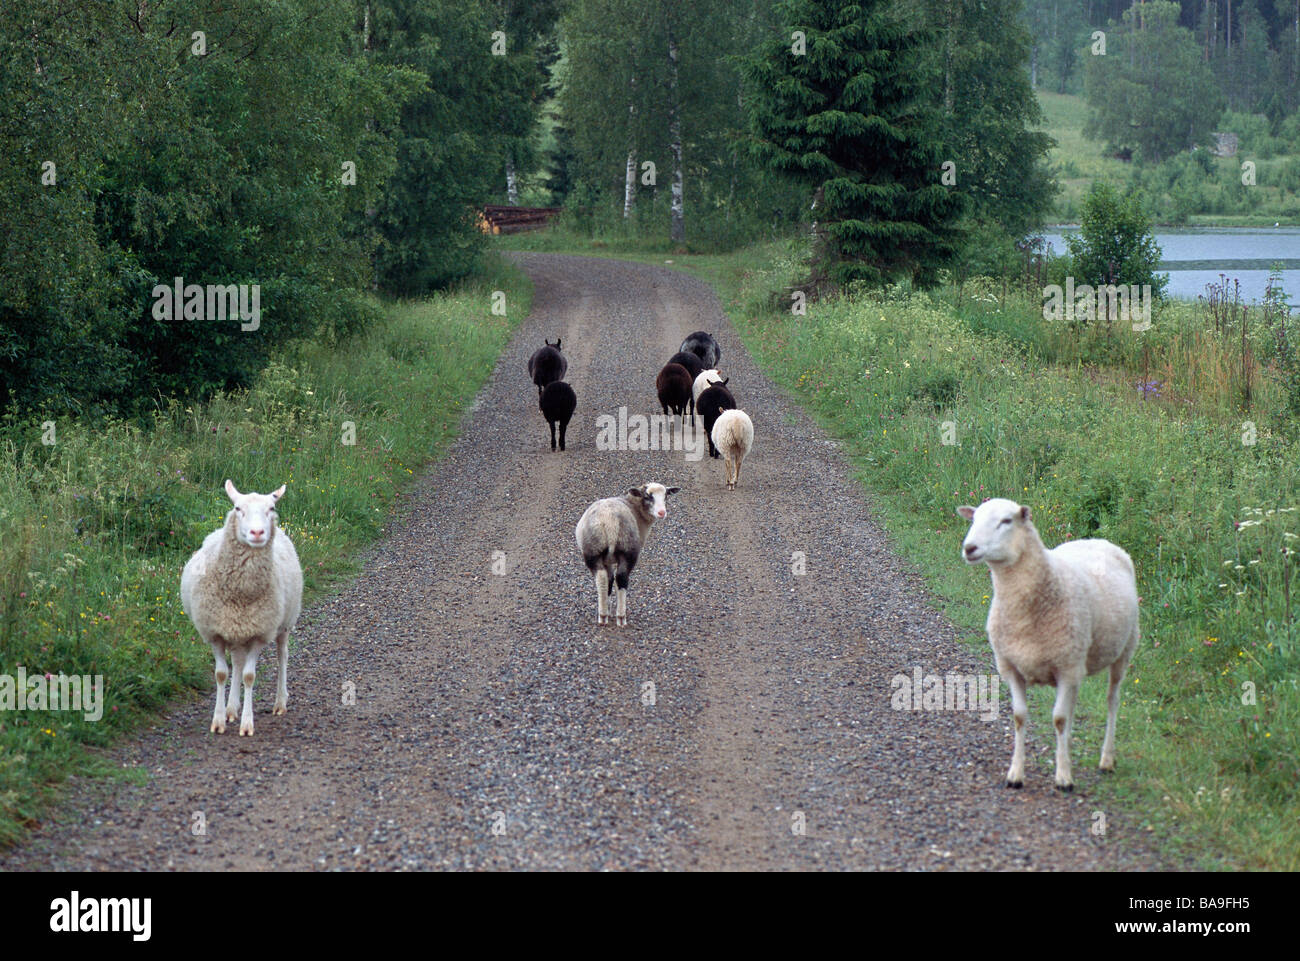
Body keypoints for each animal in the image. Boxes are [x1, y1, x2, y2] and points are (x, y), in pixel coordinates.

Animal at [181, 480, 303, 736]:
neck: (241, 595)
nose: (257, 533)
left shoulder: (259, 633)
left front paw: (247, 724)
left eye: (271, 508)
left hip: (285, 622)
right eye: (238, 508)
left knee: (282, 656)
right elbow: (221, 674)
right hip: (237, 631)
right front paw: (219, 720)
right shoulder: (215, 633)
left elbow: (249, 676)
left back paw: (280, 702)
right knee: (236, 662)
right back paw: (231, 708)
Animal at [575, 482, 680, 626]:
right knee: (622, 578)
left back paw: (603, 615)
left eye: (666, 496)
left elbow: (609, 580)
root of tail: (610, 522)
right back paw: (621, 617)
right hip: (629, 550)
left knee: (602, 578)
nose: (662, 512)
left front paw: (608, 607)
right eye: (648, 497)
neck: (635, 509)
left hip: (592, 550)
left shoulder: (607, 560)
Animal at [957, 498, 1140, 791]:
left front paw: (1063, 777)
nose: (969, 548)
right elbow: (1020, 717)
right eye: (973, 520)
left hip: (1124, 648)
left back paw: (1106, 760)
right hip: (1078, 661)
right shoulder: (1012, 668)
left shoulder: (1066, 668)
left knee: (1112, 701)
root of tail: (1100, 540)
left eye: (1006, 521)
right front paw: (1016, 774)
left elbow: (1059, 719)